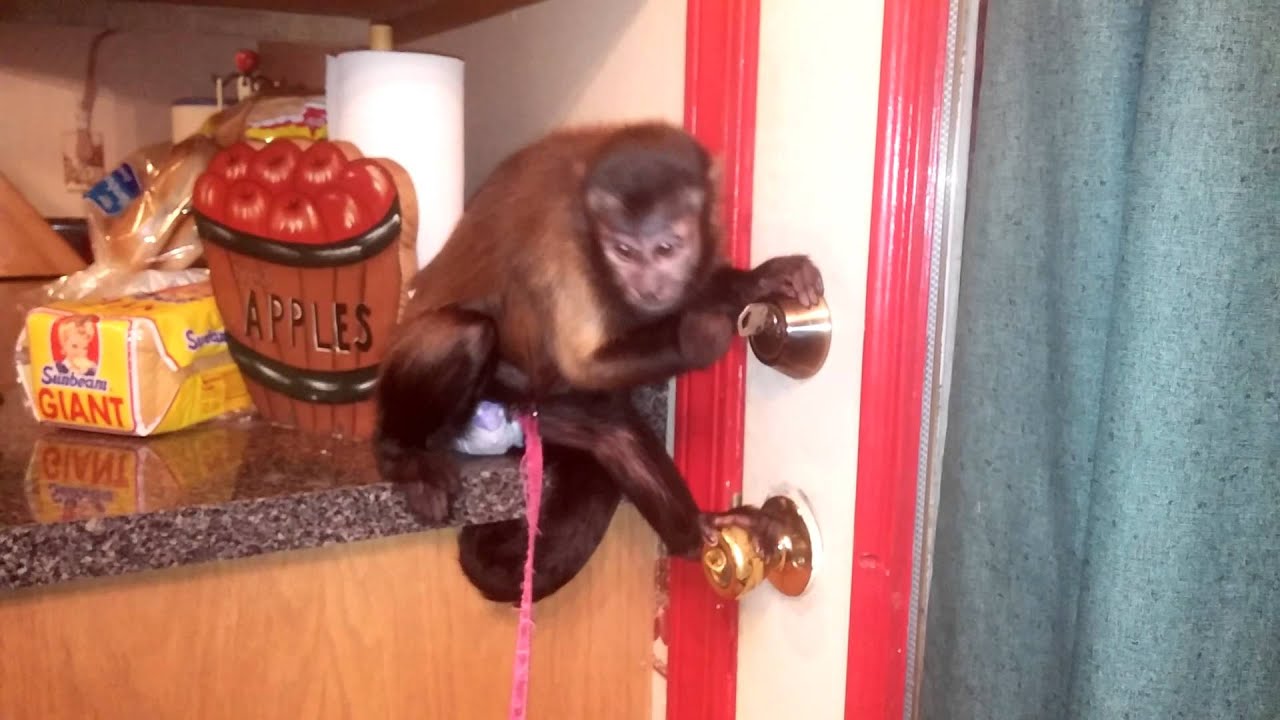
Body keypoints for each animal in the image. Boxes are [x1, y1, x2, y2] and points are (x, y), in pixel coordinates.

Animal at [374, 120, 823, 603]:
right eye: (623, 251)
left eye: (666, 248)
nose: (646, 286)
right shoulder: (565, 246)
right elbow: (582, 364)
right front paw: (702, 331)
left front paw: (752, 282)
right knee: (468, 335)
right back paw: (401, 454)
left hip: (533, 407)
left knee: (610, 433)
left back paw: (696, 530)